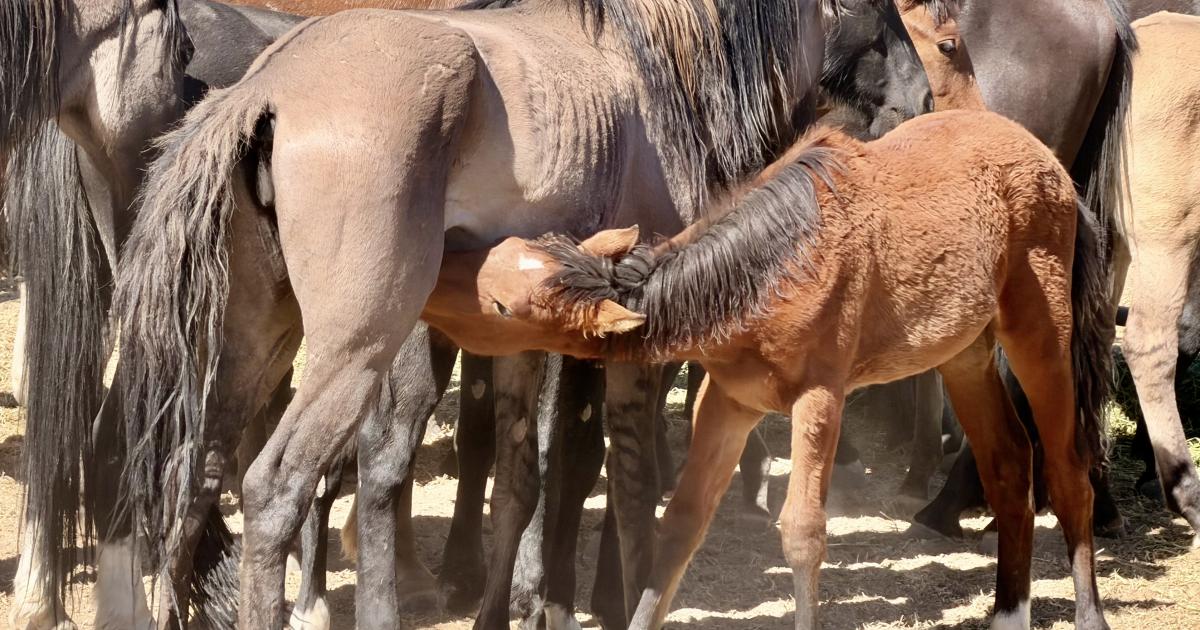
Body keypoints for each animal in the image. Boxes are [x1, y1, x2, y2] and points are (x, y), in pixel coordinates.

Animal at [112, 0, 931, 627]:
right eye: (869, 4)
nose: (924, 100)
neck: (656, 80)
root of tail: (270, 87)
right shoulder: (642, 344)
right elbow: (627, 479)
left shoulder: (519, 342)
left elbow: (520, 483)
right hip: (355, 351)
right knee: (279, 487)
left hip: (253, 344)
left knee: (196, 477)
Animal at [424, 108, 1114, 629]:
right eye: (503, 253)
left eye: (501, 305)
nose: (436, 272)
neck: (772, 267)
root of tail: (1054, 166)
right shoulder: (728, 402)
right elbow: (681, 523)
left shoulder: (819, 398)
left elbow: (803, 534)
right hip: (964, 355)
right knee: (1009, 465)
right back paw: (1008, 613)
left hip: (1040, 337)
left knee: (1067, 469)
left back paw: (1090, 614)